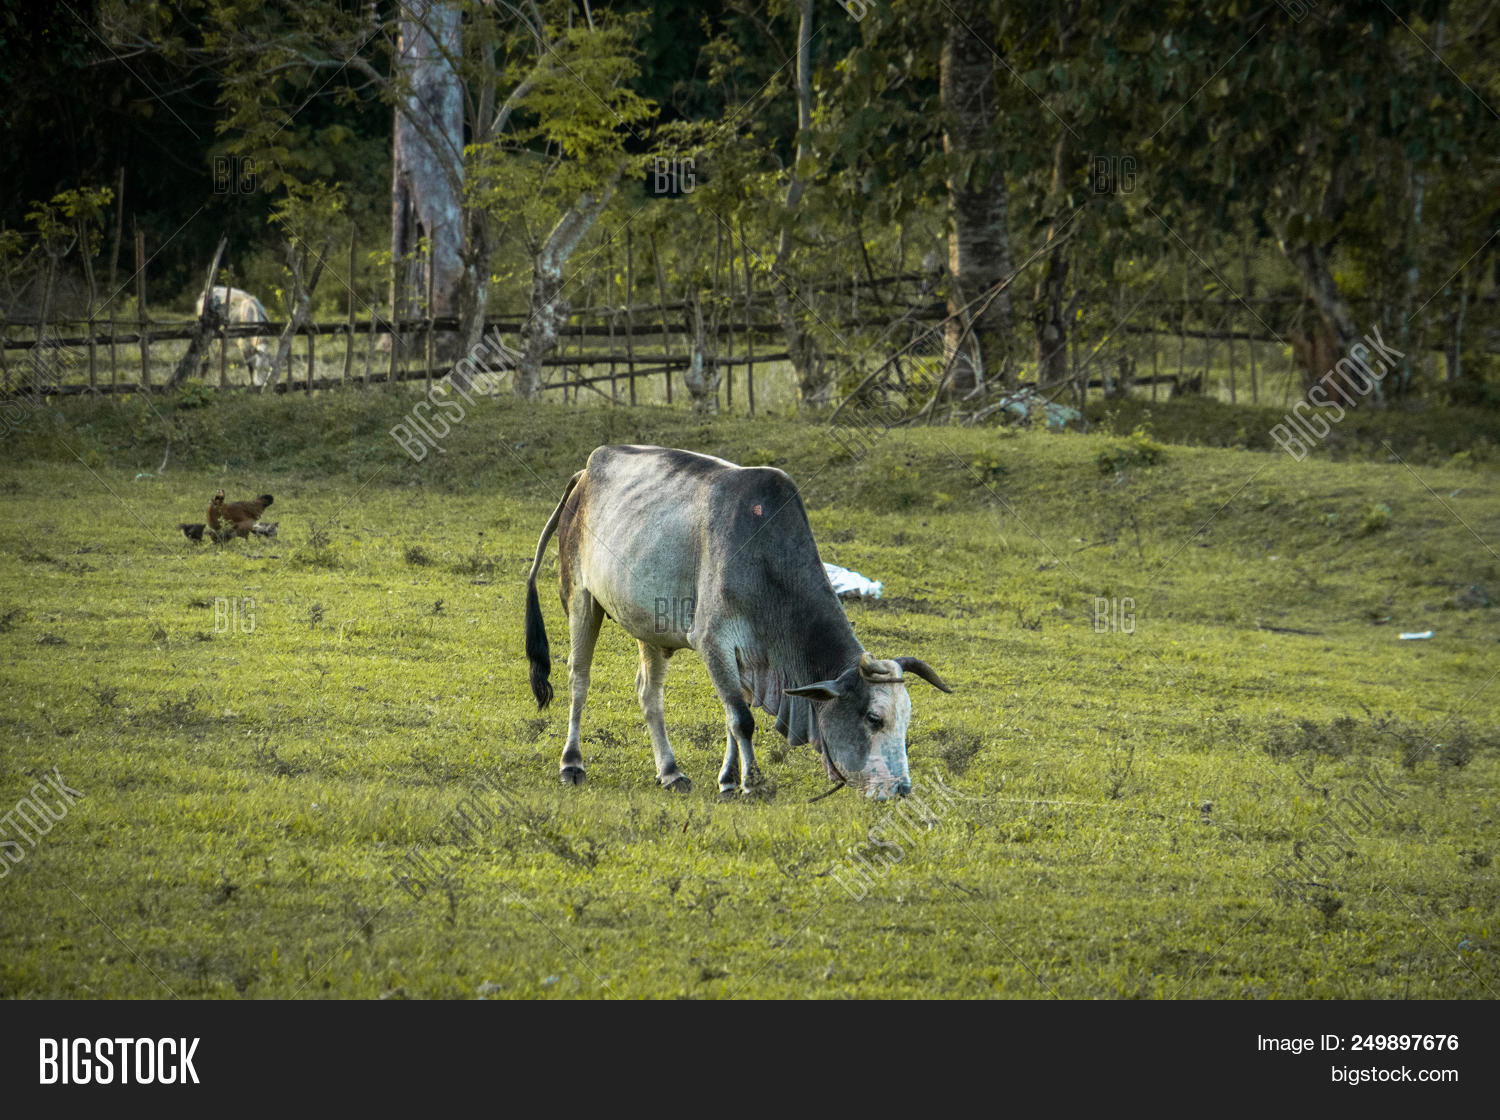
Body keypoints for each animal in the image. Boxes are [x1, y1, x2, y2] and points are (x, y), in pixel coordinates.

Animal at [524, 445, 953, 800]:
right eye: (874, 718)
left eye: (906, 719)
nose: (901, 789)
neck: (765, 561)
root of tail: (585, 473)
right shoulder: (712, 641)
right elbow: (742, 720)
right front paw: (751, 783)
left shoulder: (750, 658)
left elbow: (733, 718)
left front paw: (729, 780)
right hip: (580, 599)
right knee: (579, 679)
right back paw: (572, 763)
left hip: (649, 626)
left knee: (649, 694)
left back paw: (670, 771)